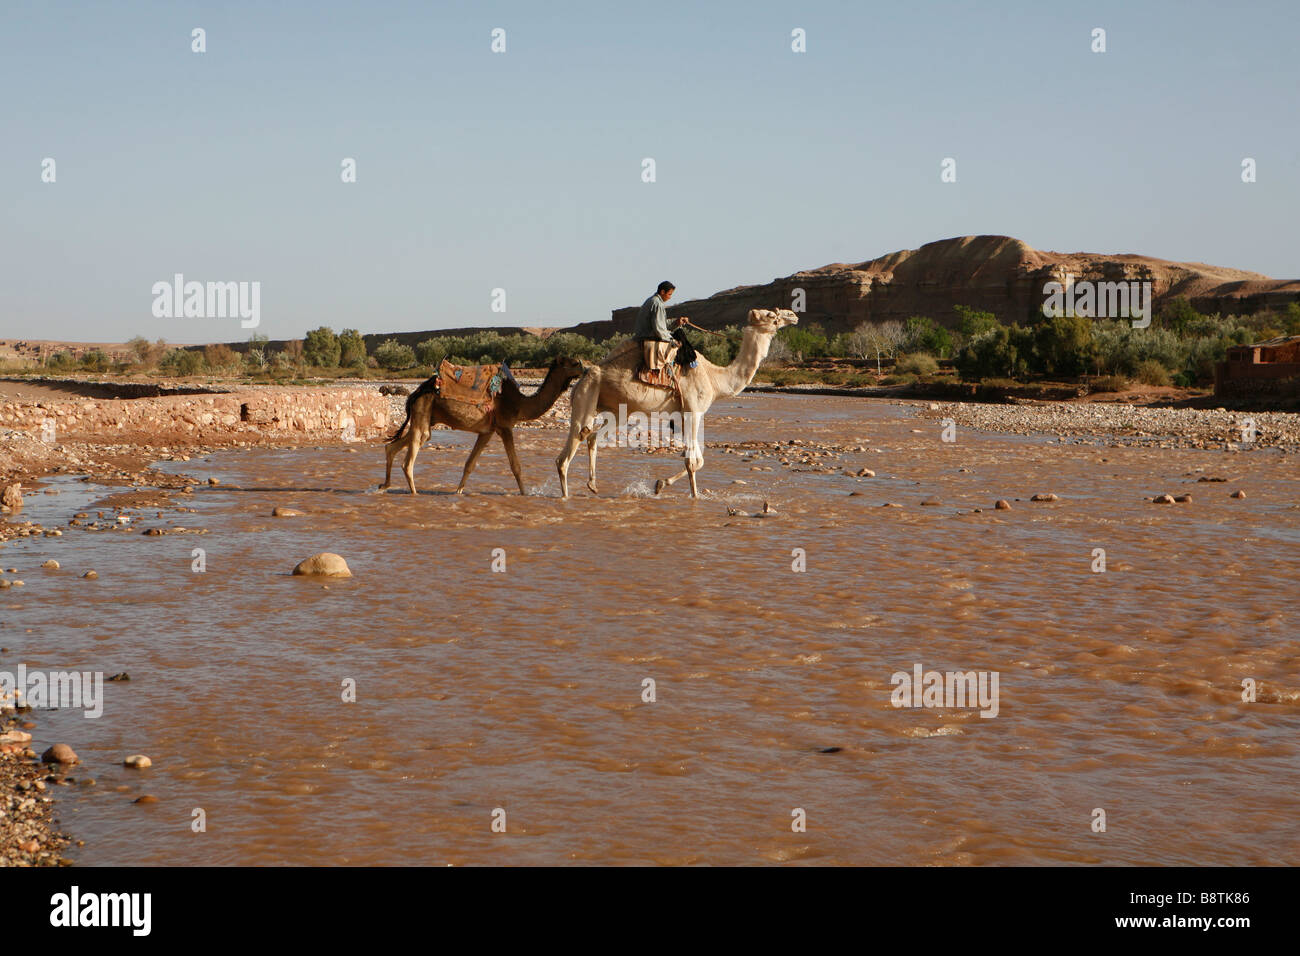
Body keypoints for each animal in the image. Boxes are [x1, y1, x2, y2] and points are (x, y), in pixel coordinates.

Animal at [381, 355, 585, 495]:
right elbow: (516, 466)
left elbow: (470, 464)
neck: (520, 403)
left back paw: (384, 485)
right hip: (423, 410)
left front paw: (458, 492)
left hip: (426, 417)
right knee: (409, 459)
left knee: (393, 446)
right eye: (575, 363)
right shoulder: (505, 426)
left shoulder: (487, 431)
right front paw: (525, 494)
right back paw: (414, 494)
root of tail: (414, 394)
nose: (585, 369)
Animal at [556, 308, 798, 499]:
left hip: (618, 410)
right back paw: (565, 496)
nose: (793, 315)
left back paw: (593, 485)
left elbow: (698, 460)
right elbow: (693, 462)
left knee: (593, 436)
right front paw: (690, 496)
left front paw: (660, 484)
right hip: (586, 396)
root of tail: (584, 375)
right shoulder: (693, 411)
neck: (715, 378)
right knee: (570, 448)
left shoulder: (682, 416)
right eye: (771, 315)